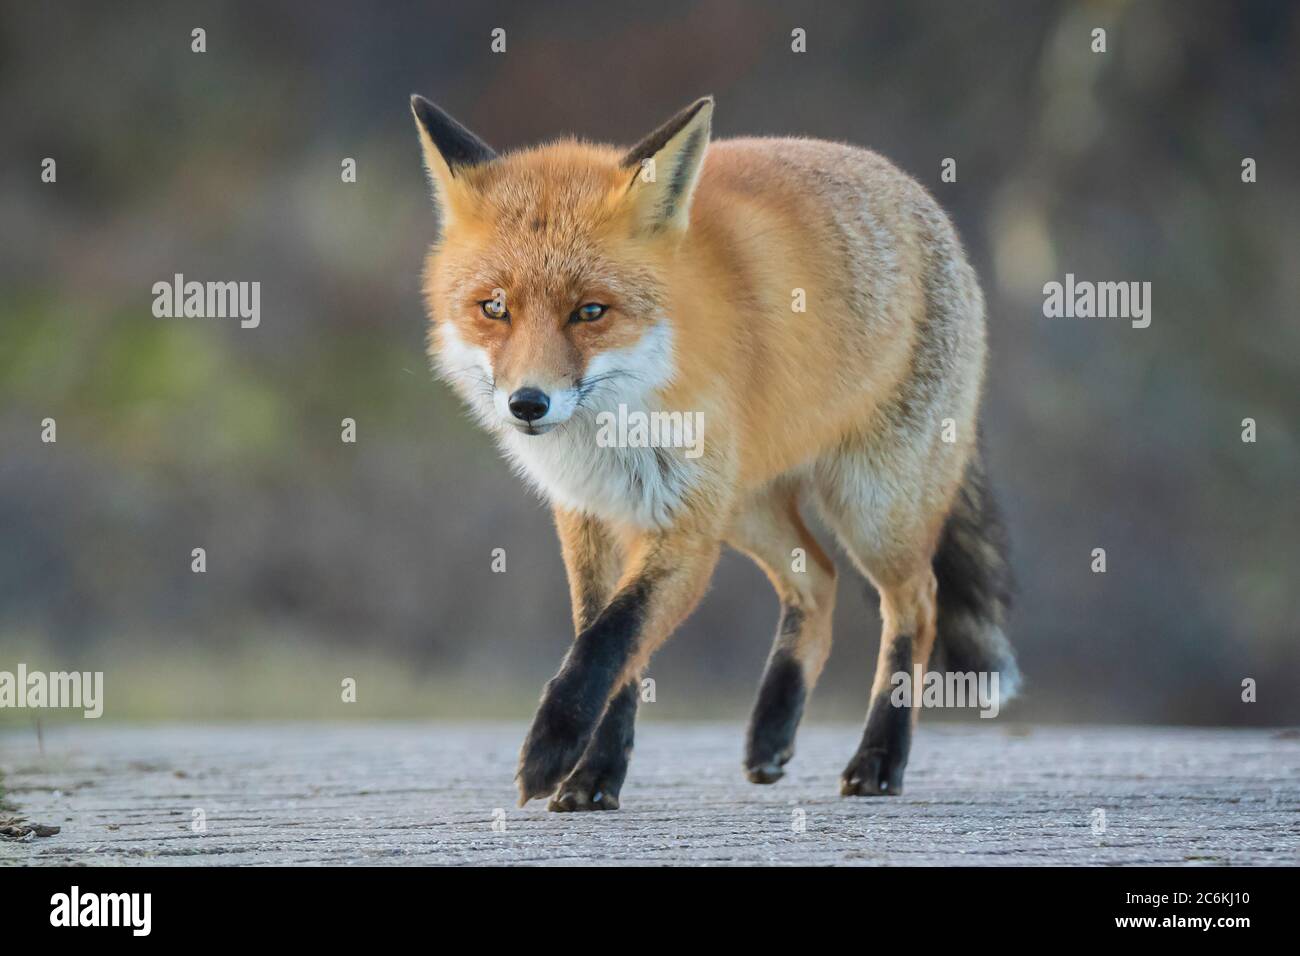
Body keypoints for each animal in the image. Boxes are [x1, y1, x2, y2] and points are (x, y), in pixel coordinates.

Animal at [410, 93, 1019, 811]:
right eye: (494, 308)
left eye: (590, 311)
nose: (527, 404)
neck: (615, 430)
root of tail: (917, 193)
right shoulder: (591, 515)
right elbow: (610, 643)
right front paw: (595, 776)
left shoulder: (684, 528)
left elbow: (611, 637)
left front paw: (553, 751)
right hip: (746, 509)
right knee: (818, 580)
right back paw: (771, 732)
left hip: (871, 510)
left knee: (917, 604)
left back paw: (879, 759)